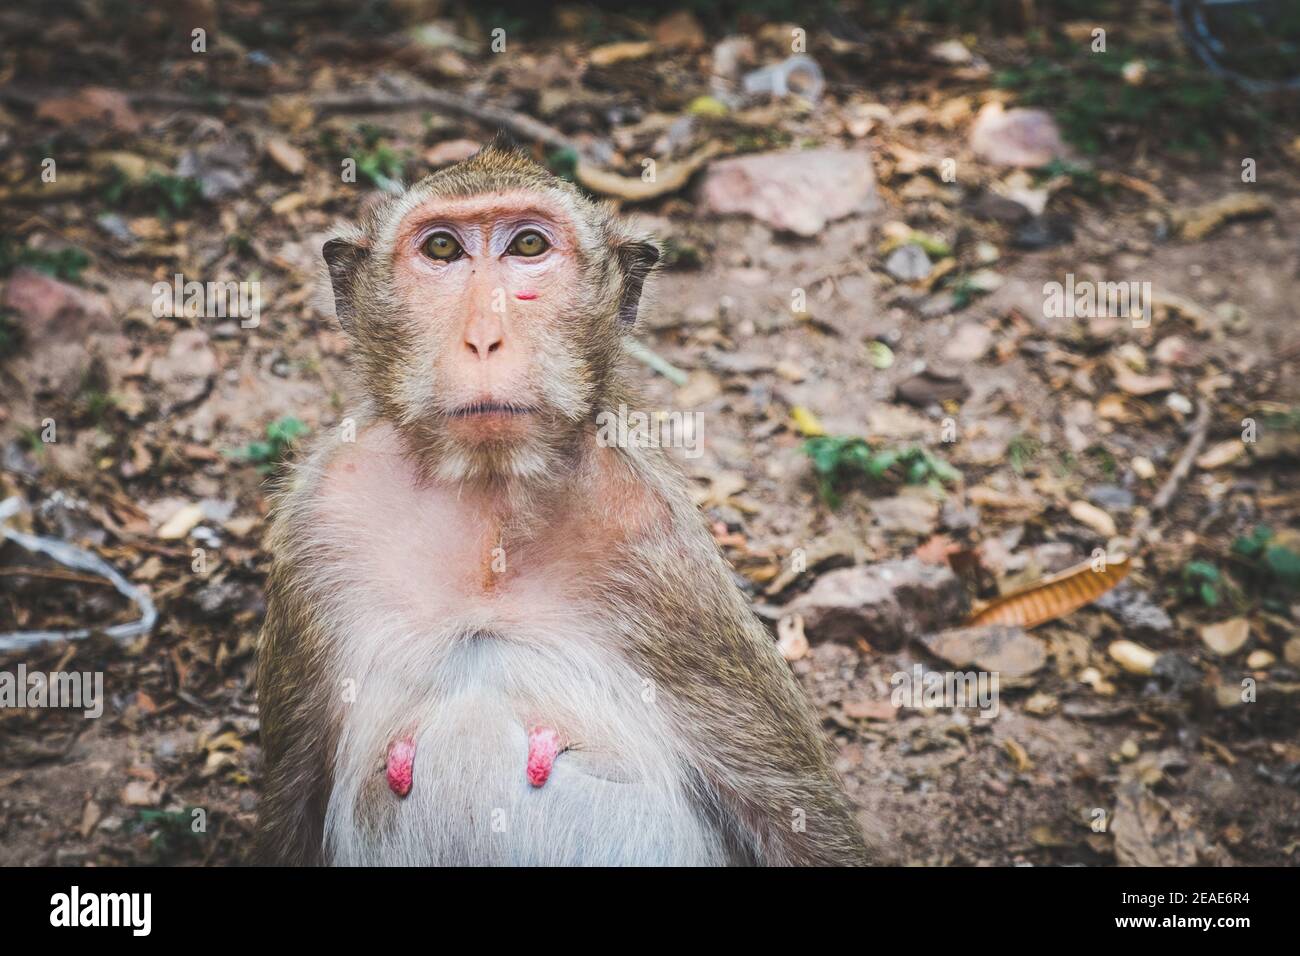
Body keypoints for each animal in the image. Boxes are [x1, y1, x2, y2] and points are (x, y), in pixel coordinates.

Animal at [255, 141, 873, 866]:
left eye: (528, 245)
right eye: (441, 249)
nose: (484, 337)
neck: (490, 501)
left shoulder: (659, 547)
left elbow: (794, 813)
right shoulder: (320, 517)